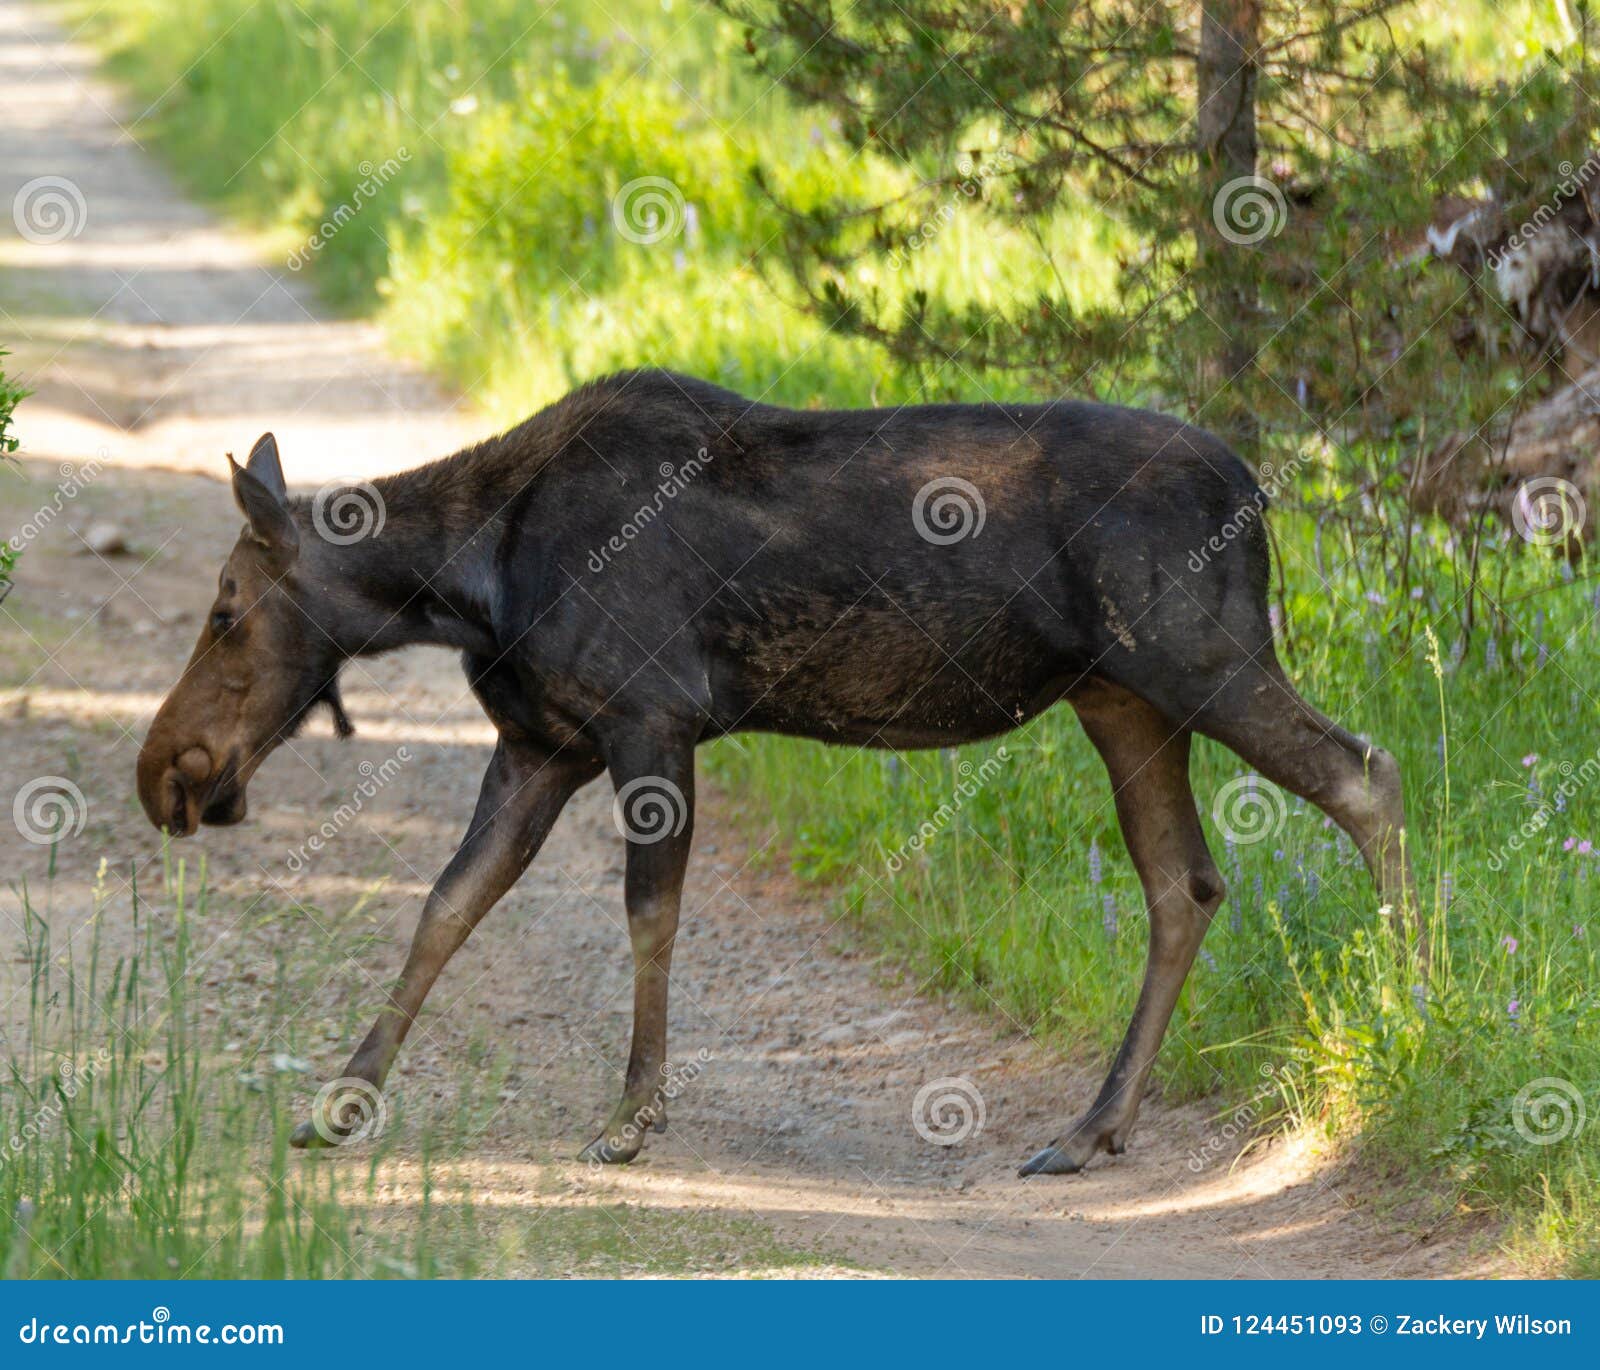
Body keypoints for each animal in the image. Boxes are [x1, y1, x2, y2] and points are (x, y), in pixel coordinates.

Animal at [135, 369, 1418, 1175]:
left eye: (226, 609)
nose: (163, 770)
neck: (468, 585)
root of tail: (1260, 494)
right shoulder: (542, 742)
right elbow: (446, 907)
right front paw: (338, 1103)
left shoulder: (649, 719)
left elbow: (647, 914)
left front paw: (630, 1118)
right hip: (1121, 697)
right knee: (1181, 881)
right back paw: (1090, 1126)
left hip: (1199, 658)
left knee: (1366, 772)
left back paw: (1408, 1008)